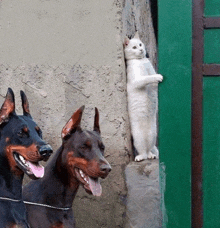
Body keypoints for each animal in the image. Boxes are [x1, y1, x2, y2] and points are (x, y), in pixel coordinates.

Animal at [124, 32, 162, 161]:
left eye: (140, 44)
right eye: (134, 47)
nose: (141, 49)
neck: (141, 61)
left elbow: (152, 79)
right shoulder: (136, 81)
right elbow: (147, 78)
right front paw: (158, 76)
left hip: (152, 134)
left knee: (149, 149)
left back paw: (151, 155)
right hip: (138, 137)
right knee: (142, 152)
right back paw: (140, 157)